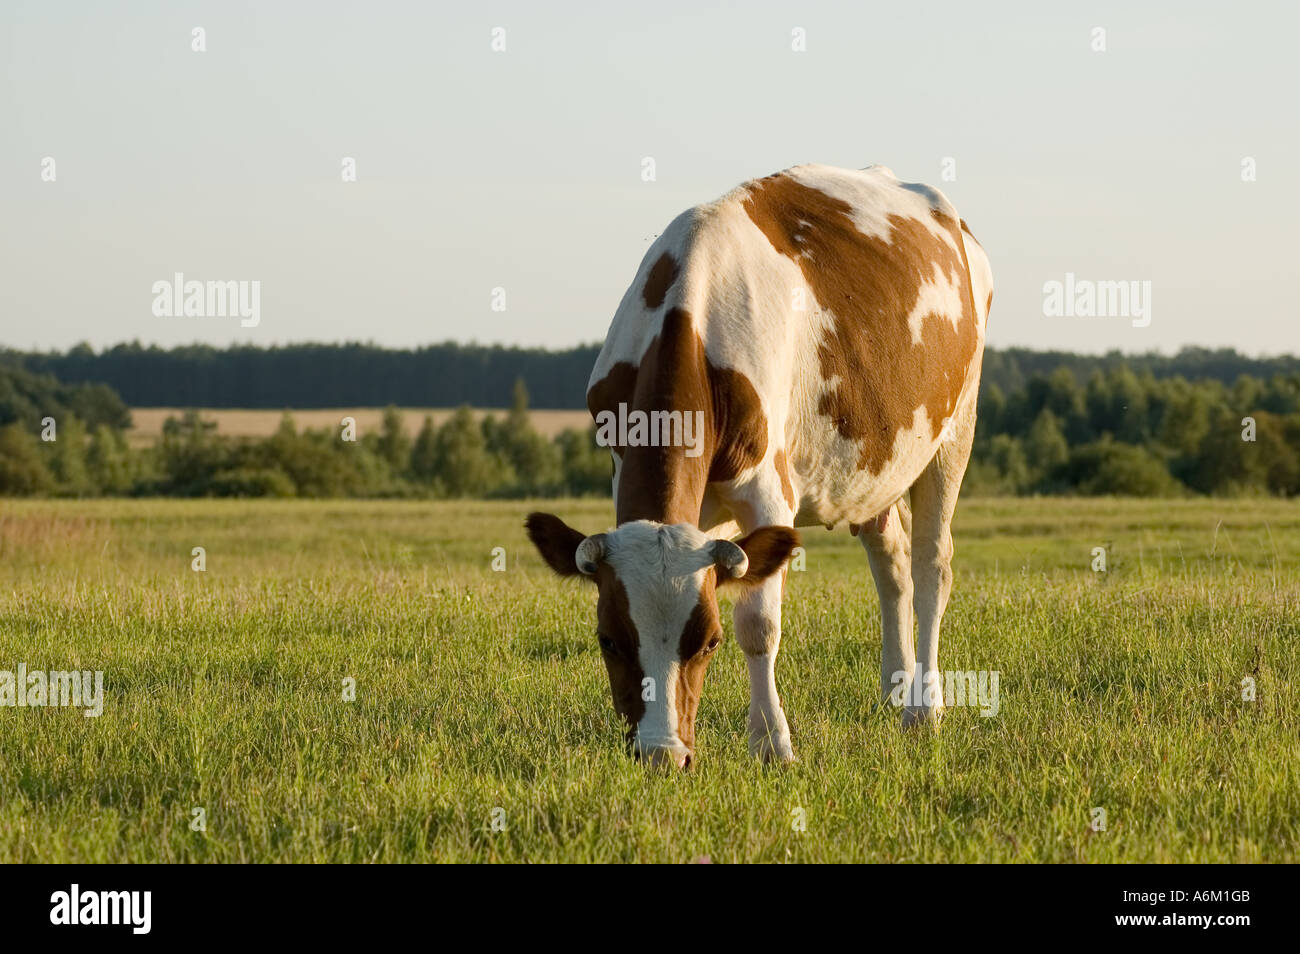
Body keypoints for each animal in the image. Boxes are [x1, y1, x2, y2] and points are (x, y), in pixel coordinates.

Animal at [527, 164, 992, 768]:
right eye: (609, 639)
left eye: (708, 641)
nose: (660, 755)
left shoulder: (768, 494)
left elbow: (759, 623)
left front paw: (772, 743)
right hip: (875, 461)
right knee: (891, 563)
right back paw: (894, 691)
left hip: (955, 430)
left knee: (931, 566)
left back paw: (923, 710)